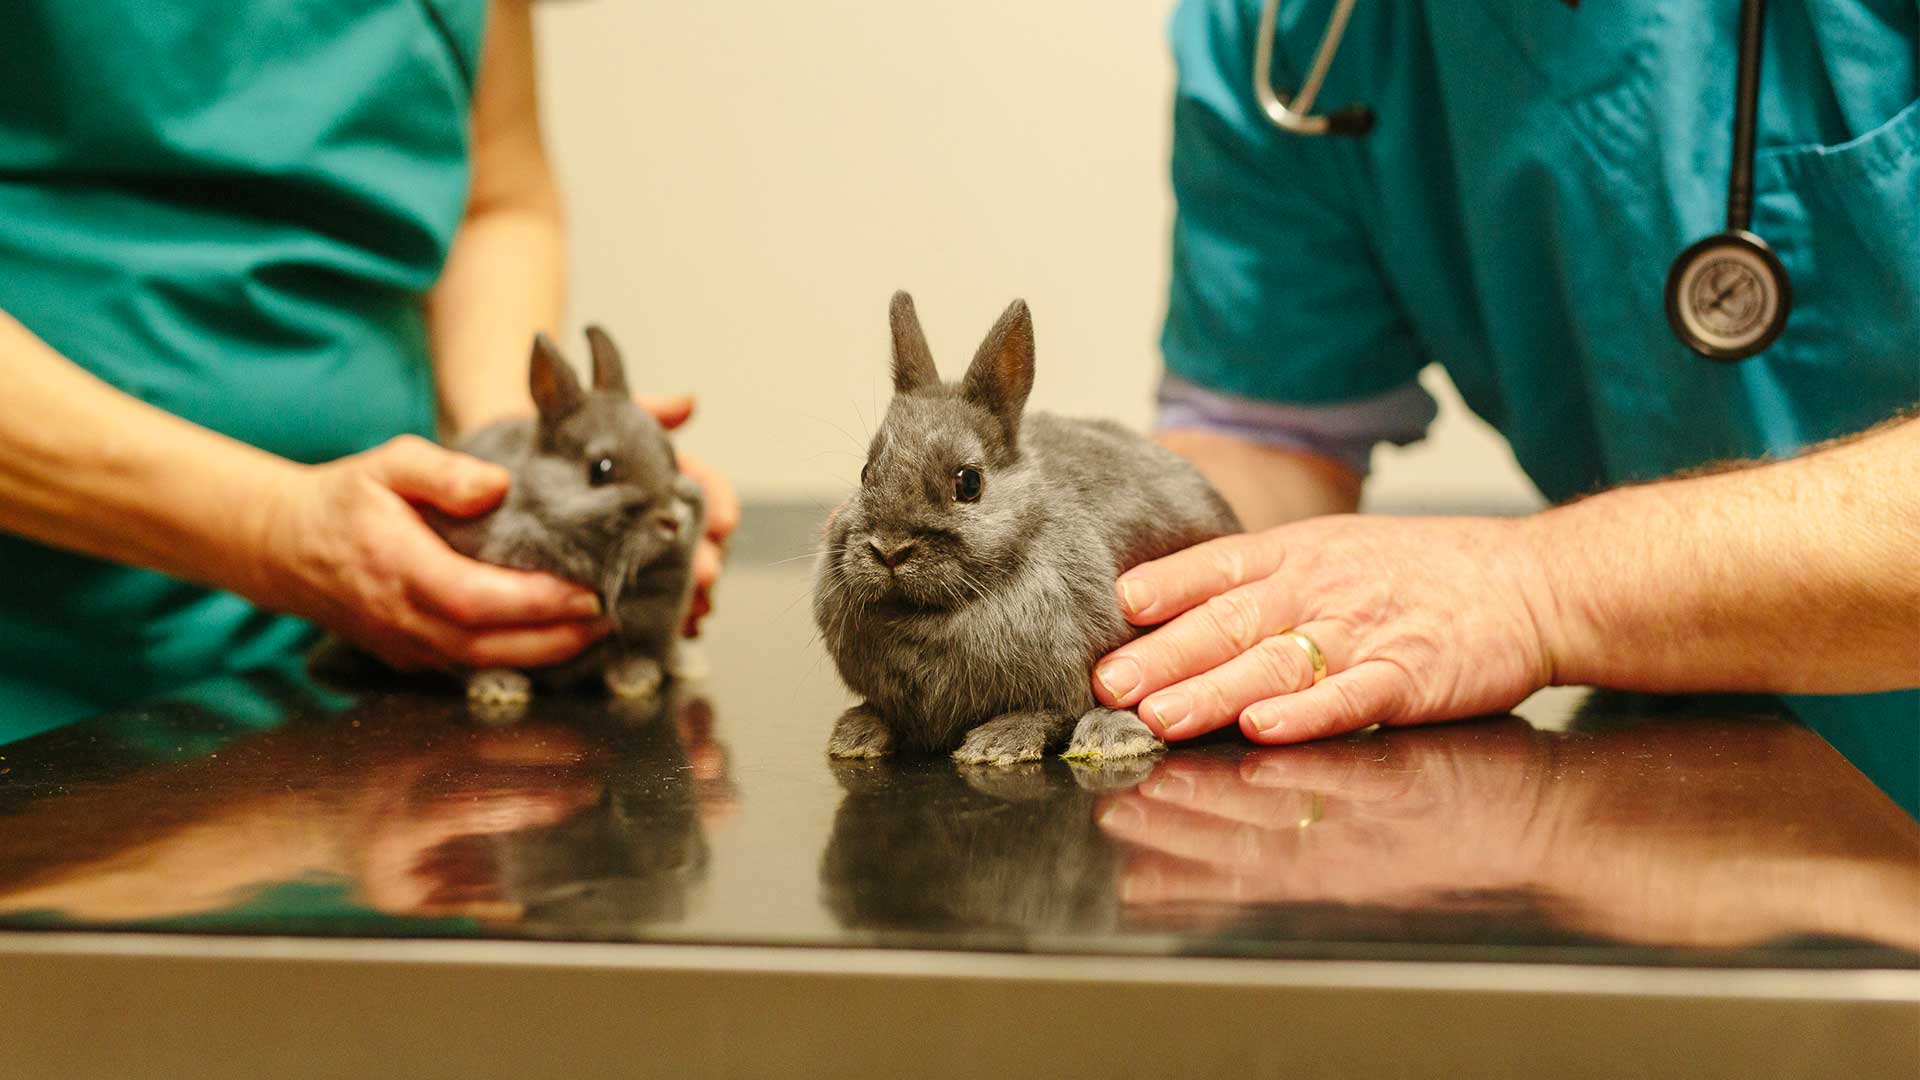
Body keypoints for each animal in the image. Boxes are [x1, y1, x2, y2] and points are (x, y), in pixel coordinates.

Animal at [427, 327, 704, 712]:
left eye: (672, 459)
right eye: (602, 470)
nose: (674, 520)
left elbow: (635, 651)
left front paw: (637, 680)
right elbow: (476, 661)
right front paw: (500, 688)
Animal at [812, 292, 1241, 766]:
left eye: (969, 483)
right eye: (866, 473)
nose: (890, 549)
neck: (921, 615)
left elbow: (1053, 710)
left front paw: (995, 744)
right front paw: (857, 735)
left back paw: (1107, 737)